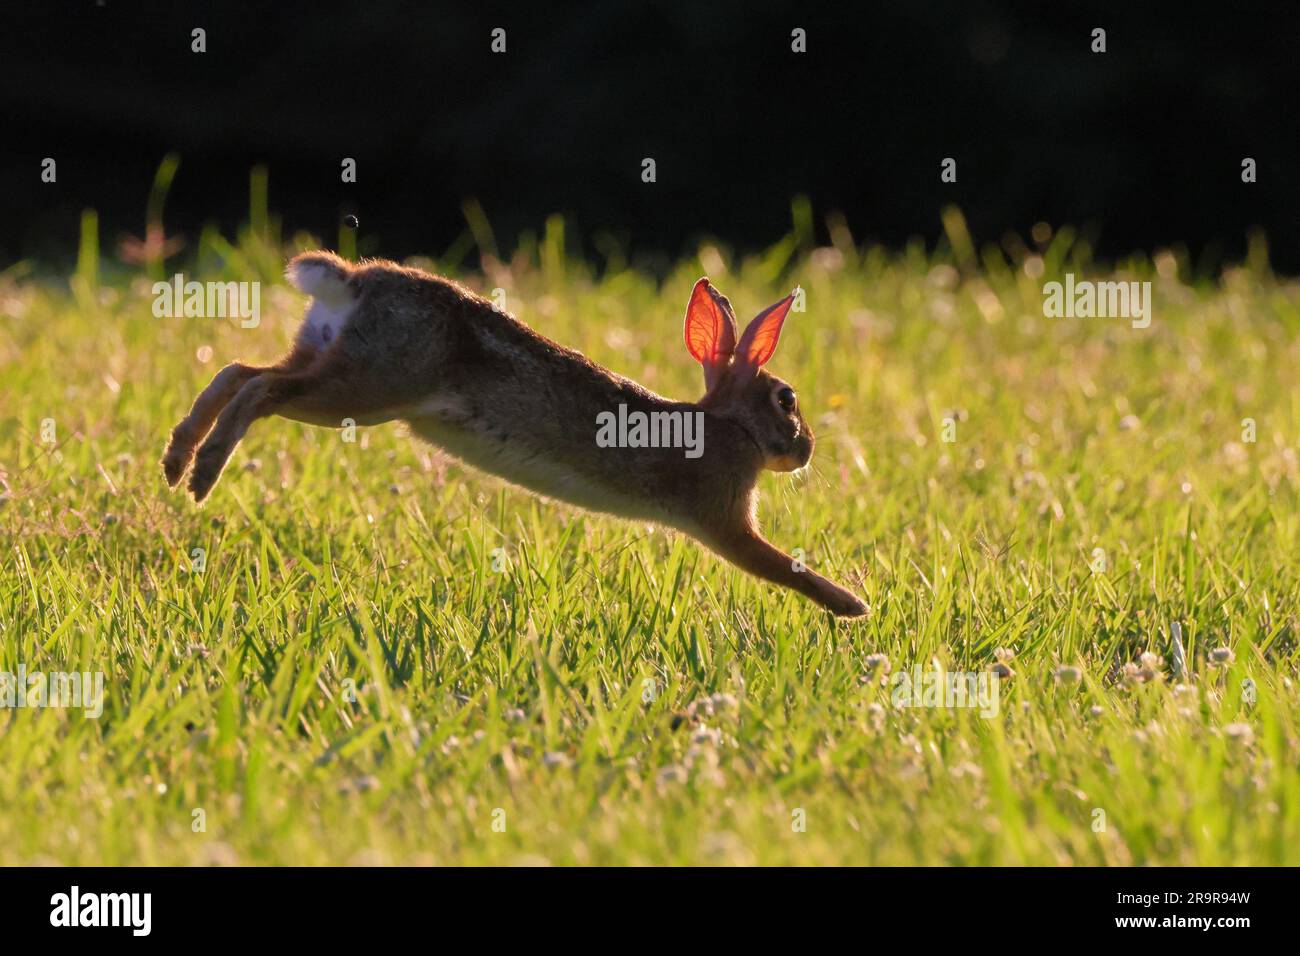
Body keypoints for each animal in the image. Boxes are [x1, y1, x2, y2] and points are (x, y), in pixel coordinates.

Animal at [162, 252, 868, 617]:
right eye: (786, 399)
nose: (804, 450)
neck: (728, 426)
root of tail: (355, 280)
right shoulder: (723, 520)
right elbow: (778, 566)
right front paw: (852, 606)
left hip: (329, 363)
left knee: (241, 371)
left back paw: (176, 461)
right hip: (366, 391)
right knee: (259, 391)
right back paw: (202, 472)